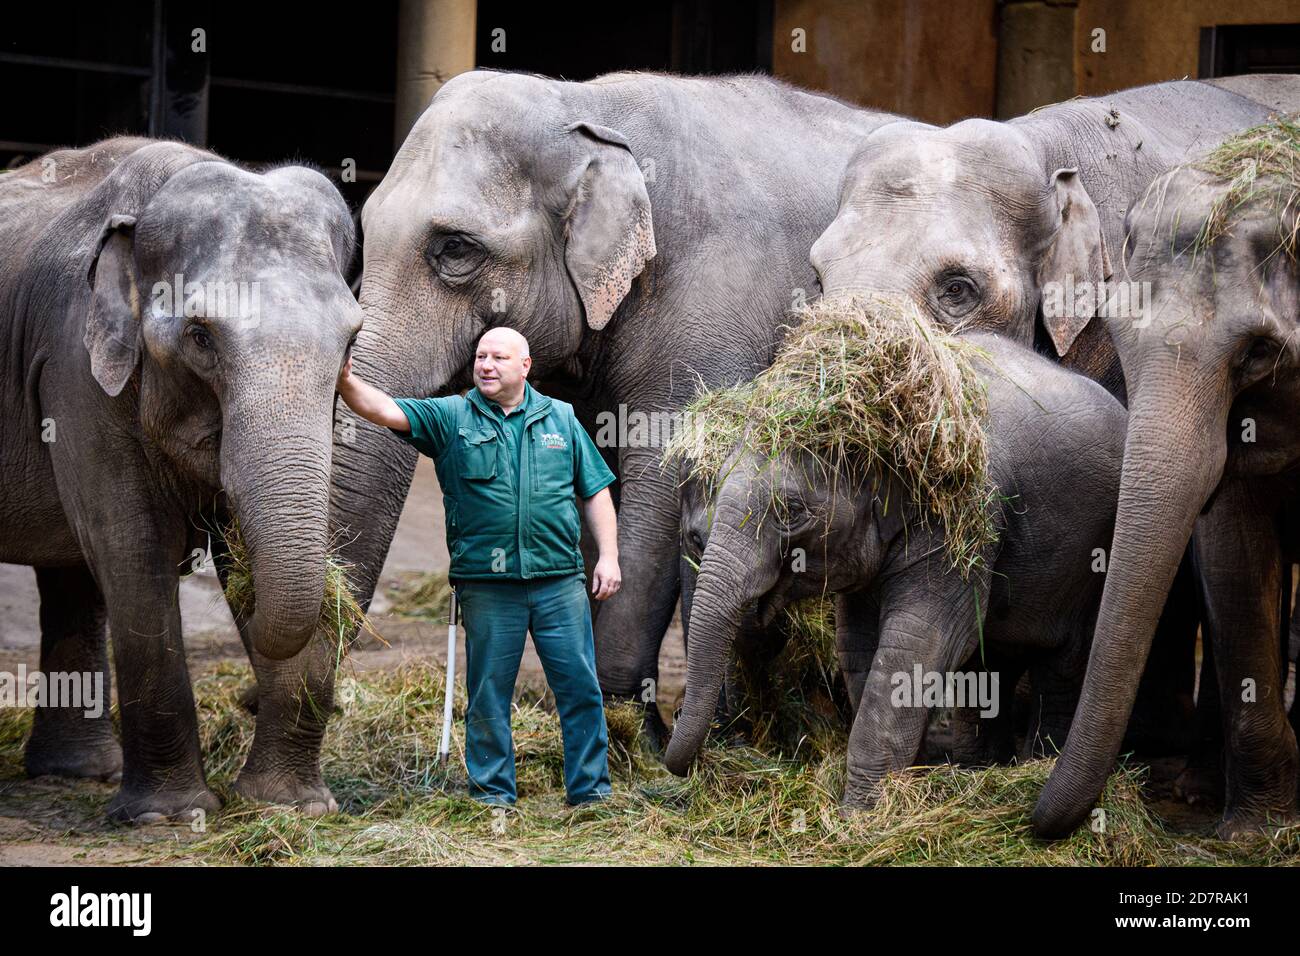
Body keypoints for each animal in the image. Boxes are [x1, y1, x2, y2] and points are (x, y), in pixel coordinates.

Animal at [0, 137, 361, 821]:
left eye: (351, 341)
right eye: (199, 336)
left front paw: (291, 807)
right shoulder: (73, 368)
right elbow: (132, 548)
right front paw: (172, 816)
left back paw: (75, 774)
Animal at [331, 69, 903, 748]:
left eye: (455, 250)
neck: (584, 105)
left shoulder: (710, 326)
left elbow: (659, 489)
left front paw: (632, 733)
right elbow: (591, 489)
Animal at [664, 332, 1127, 804]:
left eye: (792, 511)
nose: (688, 763)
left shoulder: (963, 516)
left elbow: (917, 642)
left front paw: (860, 814)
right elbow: (857, 643)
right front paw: (896, 789)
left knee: (1062, 671)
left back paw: (1039, 763)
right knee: (989, 668)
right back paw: (983, 769)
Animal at [1033, 114, 1300, 839]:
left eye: (1260, 352)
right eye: (1117, 333)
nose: (1031, 807)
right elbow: (1234, 555)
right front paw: (1252, 832)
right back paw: (1201, 788)